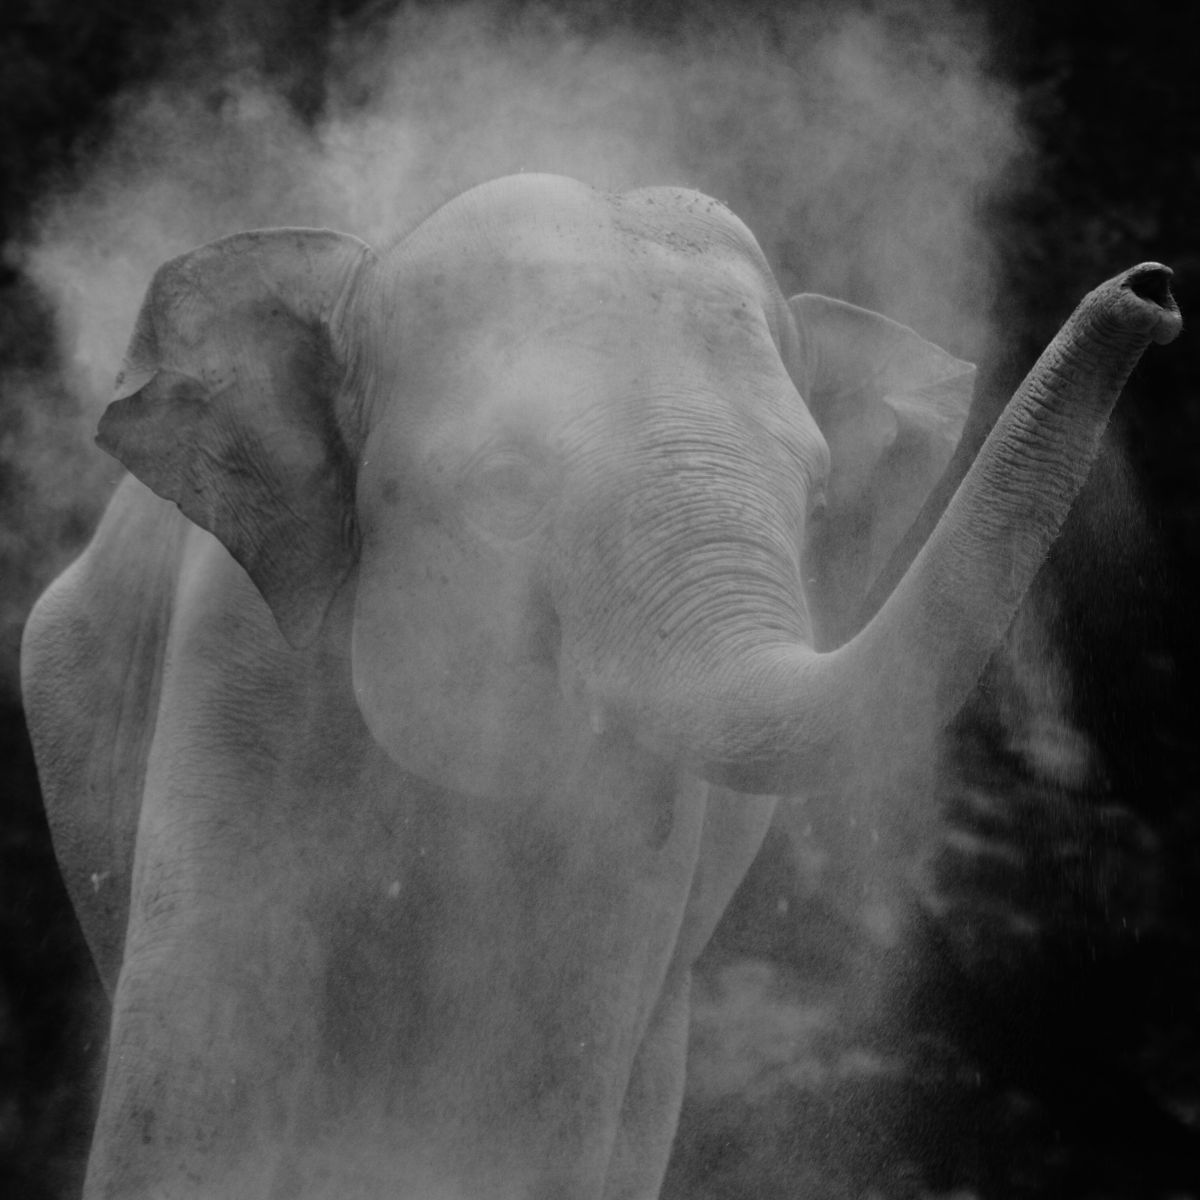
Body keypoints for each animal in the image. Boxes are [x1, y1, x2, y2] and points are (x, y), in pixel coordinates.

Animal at [20, 173, 1179, 1199]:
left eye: (815, 502)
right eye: (505, 489)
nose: (1153, 286)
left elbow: (544, 1074)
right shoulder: (238, 652)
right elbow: (206, 1042)